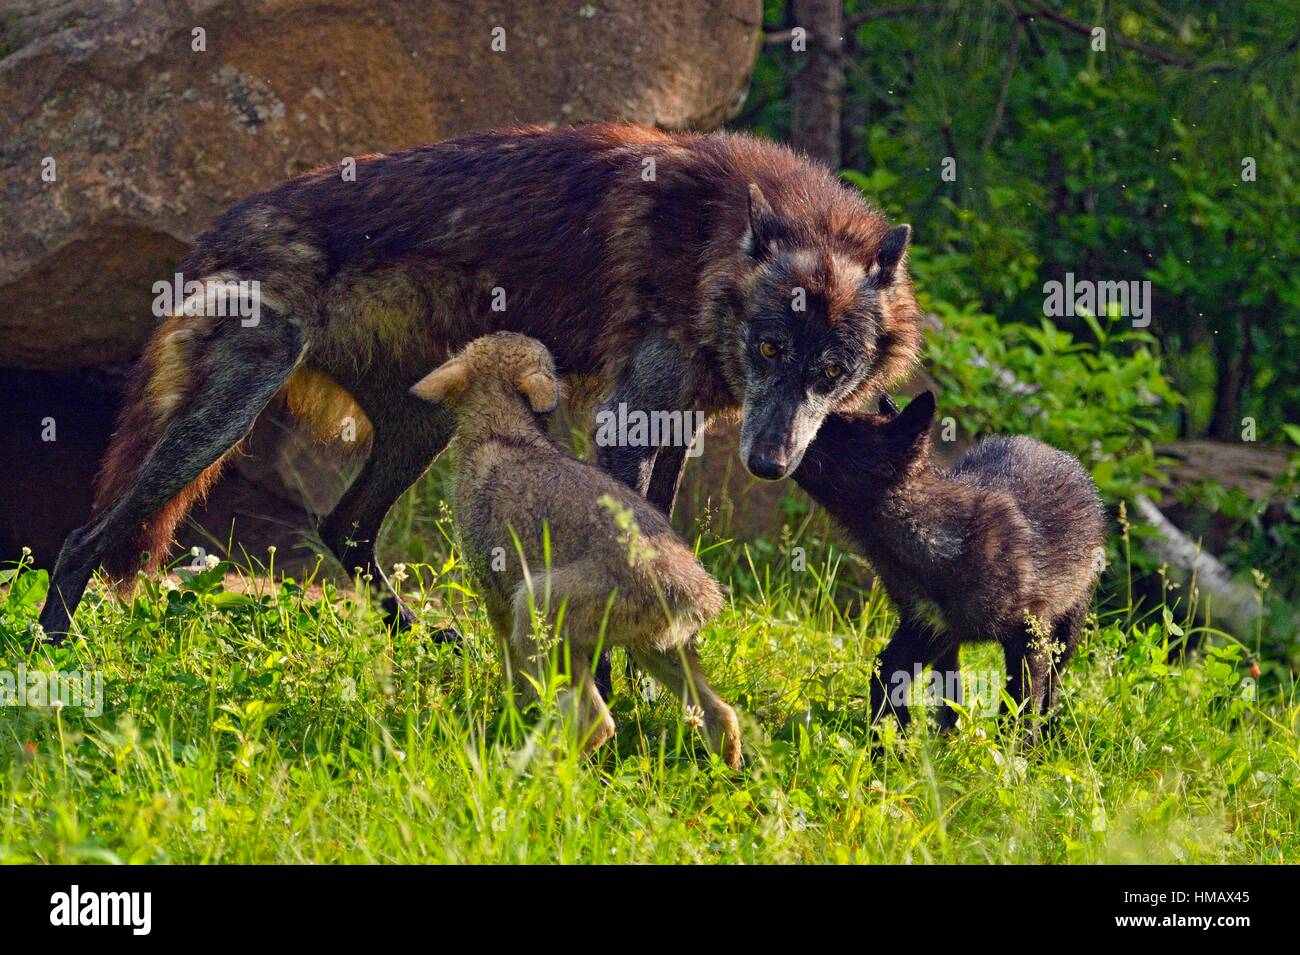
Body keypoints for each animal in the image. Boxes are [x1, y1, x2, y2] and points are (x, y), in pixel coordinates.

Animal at [36, 123, 920, 641]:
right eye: (770, 348)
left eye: (830, 371)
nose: (770, 463)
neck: (714, 243)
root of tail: (216, 230)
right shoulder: (629, 418)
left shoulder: (676, 424)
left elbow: (661, 533)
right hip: (221, 422)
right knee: (83, 537)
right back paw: (55, 647)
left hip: (418, 429)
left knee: (343, 528)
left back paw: (421, 637)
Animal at [795, 392, 1106, 741]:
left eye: (837, 429)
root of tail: (1057, 451)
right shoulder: (925, 627)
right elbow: (886, 677)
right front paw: (891, 745)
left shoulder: (1030, 637)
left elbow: (1020, 711)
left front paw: (1017, 754)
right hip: (948, 643)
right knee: (949, 688)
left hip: (1069, 629)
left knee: (1052, 689)